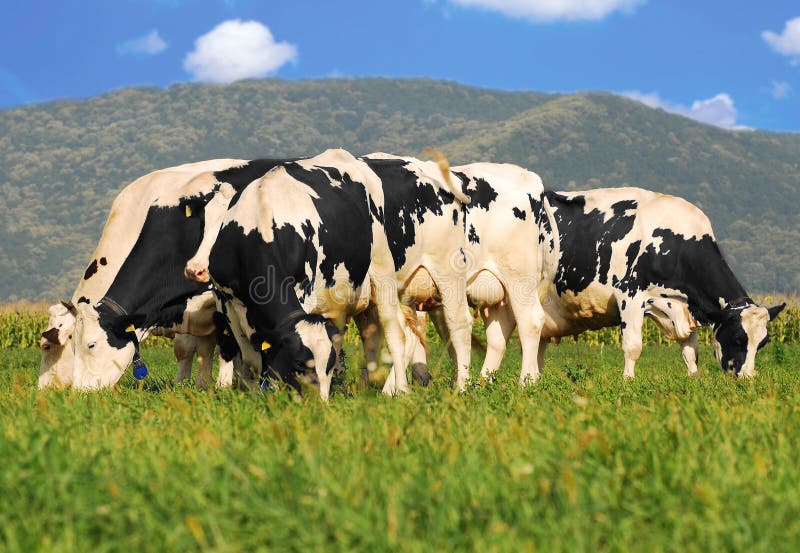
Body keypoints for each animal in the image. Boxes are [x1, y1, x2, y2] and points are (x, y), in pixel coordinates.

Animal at [67, 158, 298, 390]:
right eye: (71, 343)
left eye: (91, 344)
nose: (76, 391)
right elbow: (191, 349)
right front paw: (192, 385)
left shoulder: (217, 301)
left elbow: (227, 345)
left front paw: (224, 386)